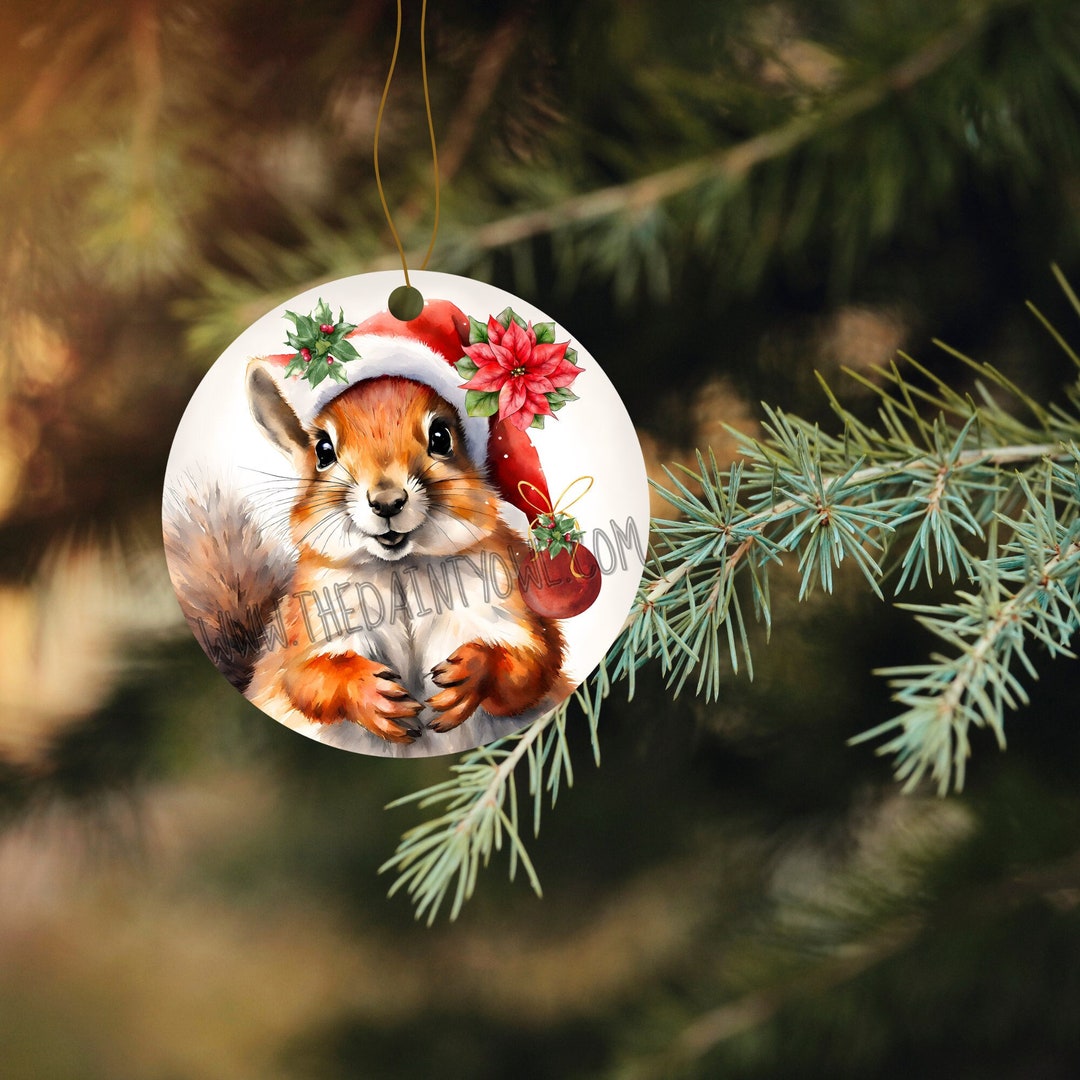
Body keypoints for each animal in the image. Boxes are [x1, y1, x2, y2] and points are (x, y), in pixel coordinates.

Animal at [165, 357, 568, 756]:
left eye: (441, 437)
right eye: (323, 450)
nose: (387, 501)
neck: (400, 568)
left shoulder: (503, 593)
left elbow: (532, 664)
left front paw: (472, 671)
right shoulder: (309, 615)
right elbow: (306, 676)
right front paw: (368, 692)